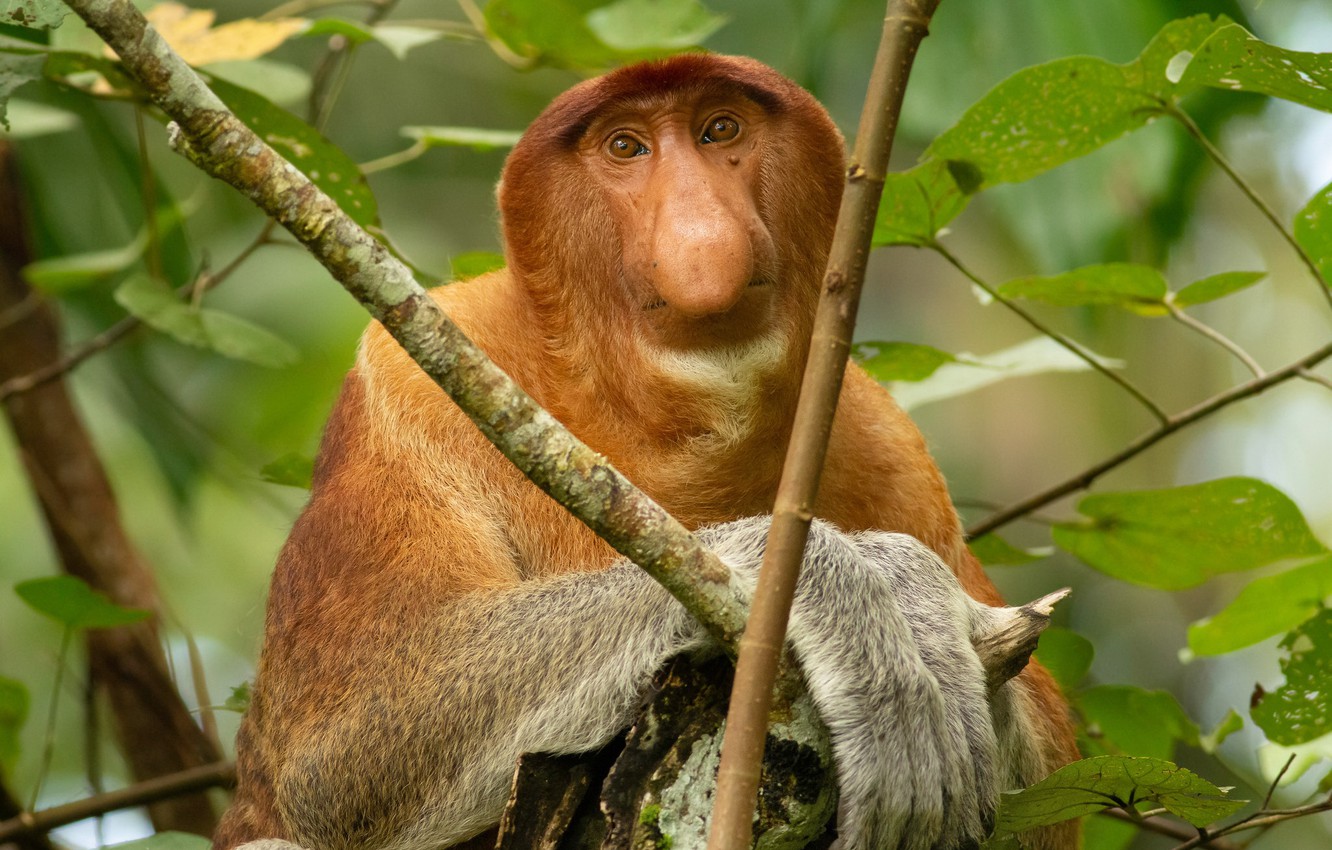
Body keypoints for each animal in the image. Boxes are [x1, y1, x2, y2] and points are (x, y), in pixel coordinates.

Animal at [213, 55, 1078, 850]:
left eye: (720, 130)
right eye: (625, 146)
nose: (702, 237)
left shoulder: (888, 441)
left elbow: (1052, 800)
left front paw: (929, 616)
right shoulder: (406, 381)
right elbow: (342, 746)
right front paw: (850, 583)